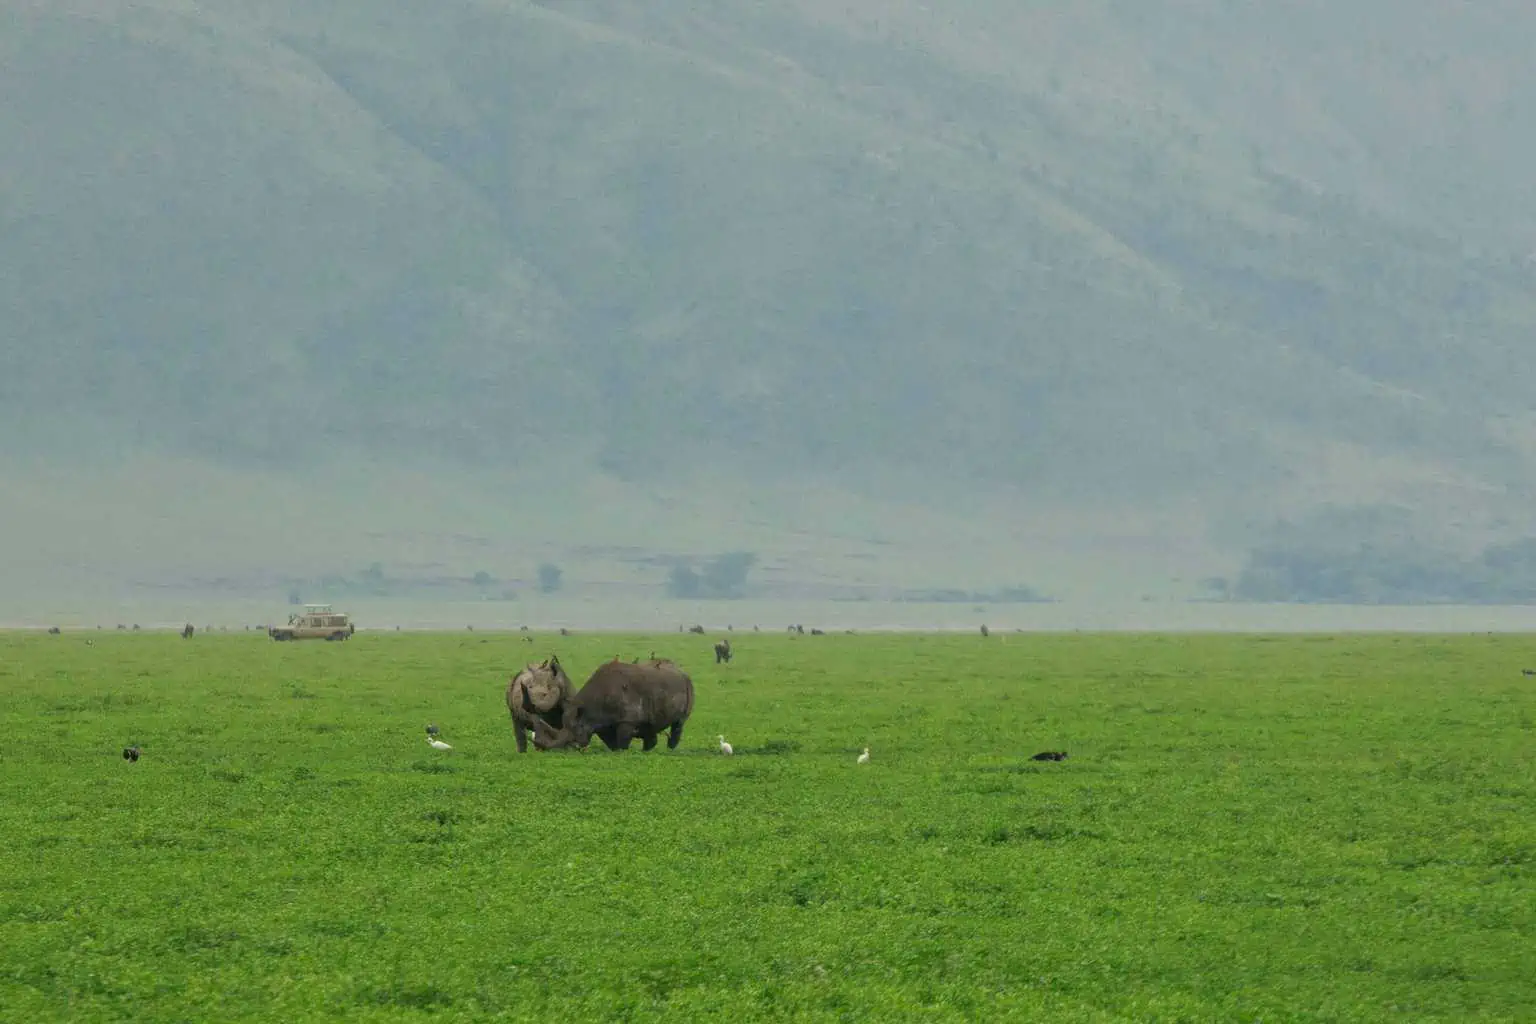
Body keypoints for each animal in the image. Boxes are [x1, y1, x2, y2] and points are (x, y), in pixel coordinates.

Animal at [538, 659, 694, 752]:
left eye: (574, 735)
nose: (564, 749)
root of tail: (681, 671)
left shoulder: (627, 720)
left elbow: (622, 741)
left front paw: (622, 752)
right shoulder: (601, 721)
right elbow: (611, 742)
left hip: (687, 683)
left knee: (679, 723)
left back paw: (670, 750)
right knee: (650, 725)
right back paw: (647, 751)